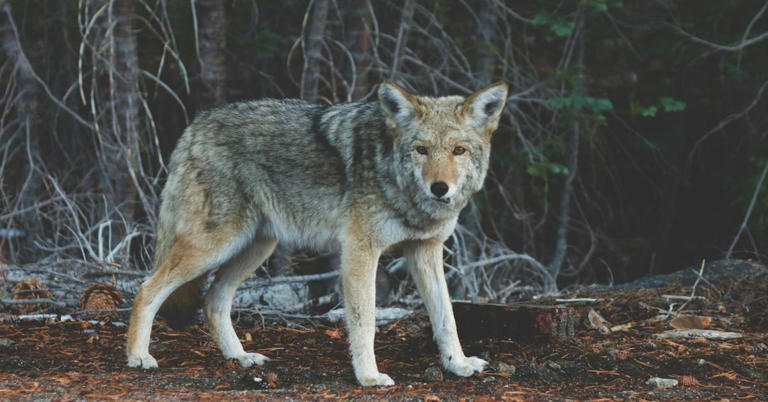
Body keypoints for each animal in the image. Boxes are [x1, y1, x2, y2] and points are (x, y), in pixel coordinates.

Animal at [126, 80, 509, 386]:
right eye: (422, 150)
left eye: (458, 150)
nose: (439, 188)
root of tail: (196, 124)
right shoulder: (360, 252)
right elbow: (365, 321)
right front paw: (369, 377)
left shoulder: (425, 251)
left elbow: (447, 317)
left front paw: (458, 365)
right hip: (215, 245)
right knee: (147, 288)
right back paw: (139, 357)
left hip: (255, 248)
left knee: (213, 301)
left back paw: (241, 357)